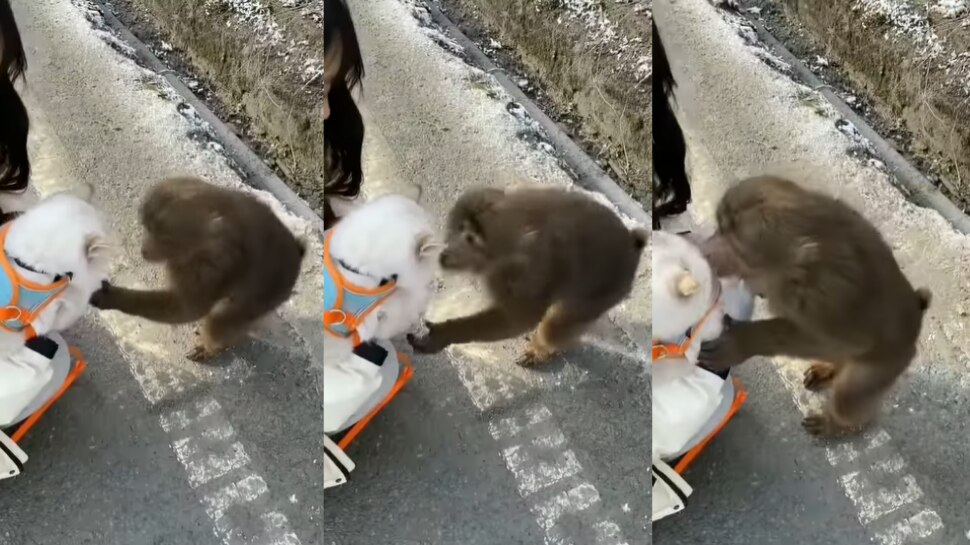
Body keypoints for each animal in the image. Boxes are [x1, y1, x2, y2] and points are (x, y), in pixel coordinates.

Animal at [90, 176, 306, 362]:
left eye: (165, 239)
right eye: (147, 228)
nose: (144, 249)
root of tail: (297, 254)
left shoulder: (212, 270)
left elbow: (188, 309)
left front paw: (113, 297)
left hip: (265, 297)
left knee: (220, 320)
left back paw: (216, 346)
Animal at [407, 184, 648, 367]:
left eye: (469, 238)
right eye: (457, 230)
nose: (446, 252)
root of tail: (631, 245)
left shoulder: (531, 271)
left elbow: (520, 319)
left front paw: (444, 333)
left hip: (604, 291)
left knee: (556, 324)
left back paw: (545, 350)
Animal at [696, 175, 932, 437]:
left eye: (736, 249)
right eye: (720, 228)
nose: (704, 251)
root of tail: (918, 310)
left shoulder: (825, 300)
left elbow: (828, 341)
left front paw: (742, 341)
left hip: (887, 364)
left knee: (847, 398)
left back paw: (838, 424)